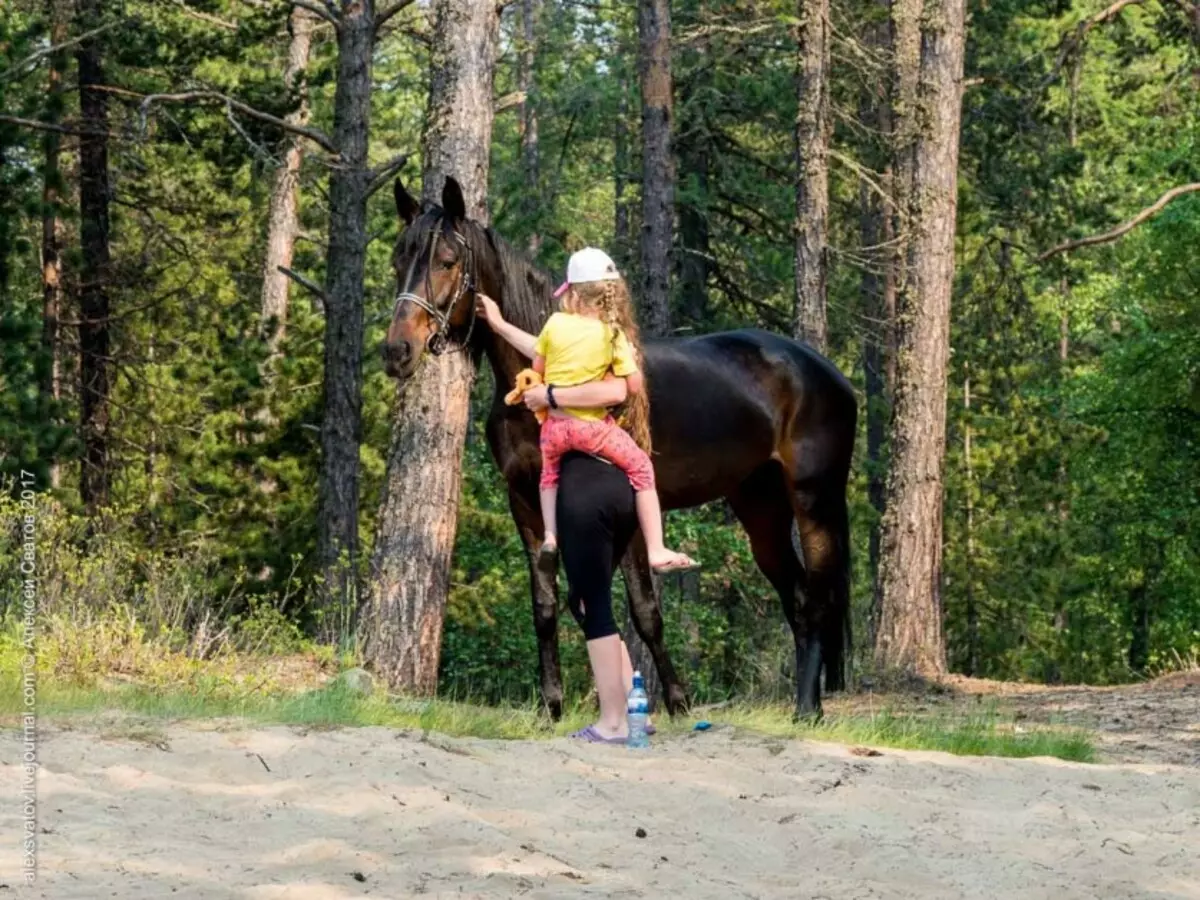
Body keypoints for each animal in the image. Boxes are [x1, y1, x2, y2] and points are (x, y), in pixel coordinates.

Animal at [379, 176, 859, 720]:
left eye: (446, 261)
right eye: (398, 259)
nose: (397, 351)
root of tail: (828, 373)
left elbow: (643, 609)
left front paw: (676, 702)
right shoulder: (527, 504)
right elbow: (552, 604)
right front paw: (555, 705)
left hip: (814, 500)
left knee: (816, 596)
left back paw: (807, 708)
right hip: (760, 506)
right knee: (796, 595)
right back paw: (805, 705)